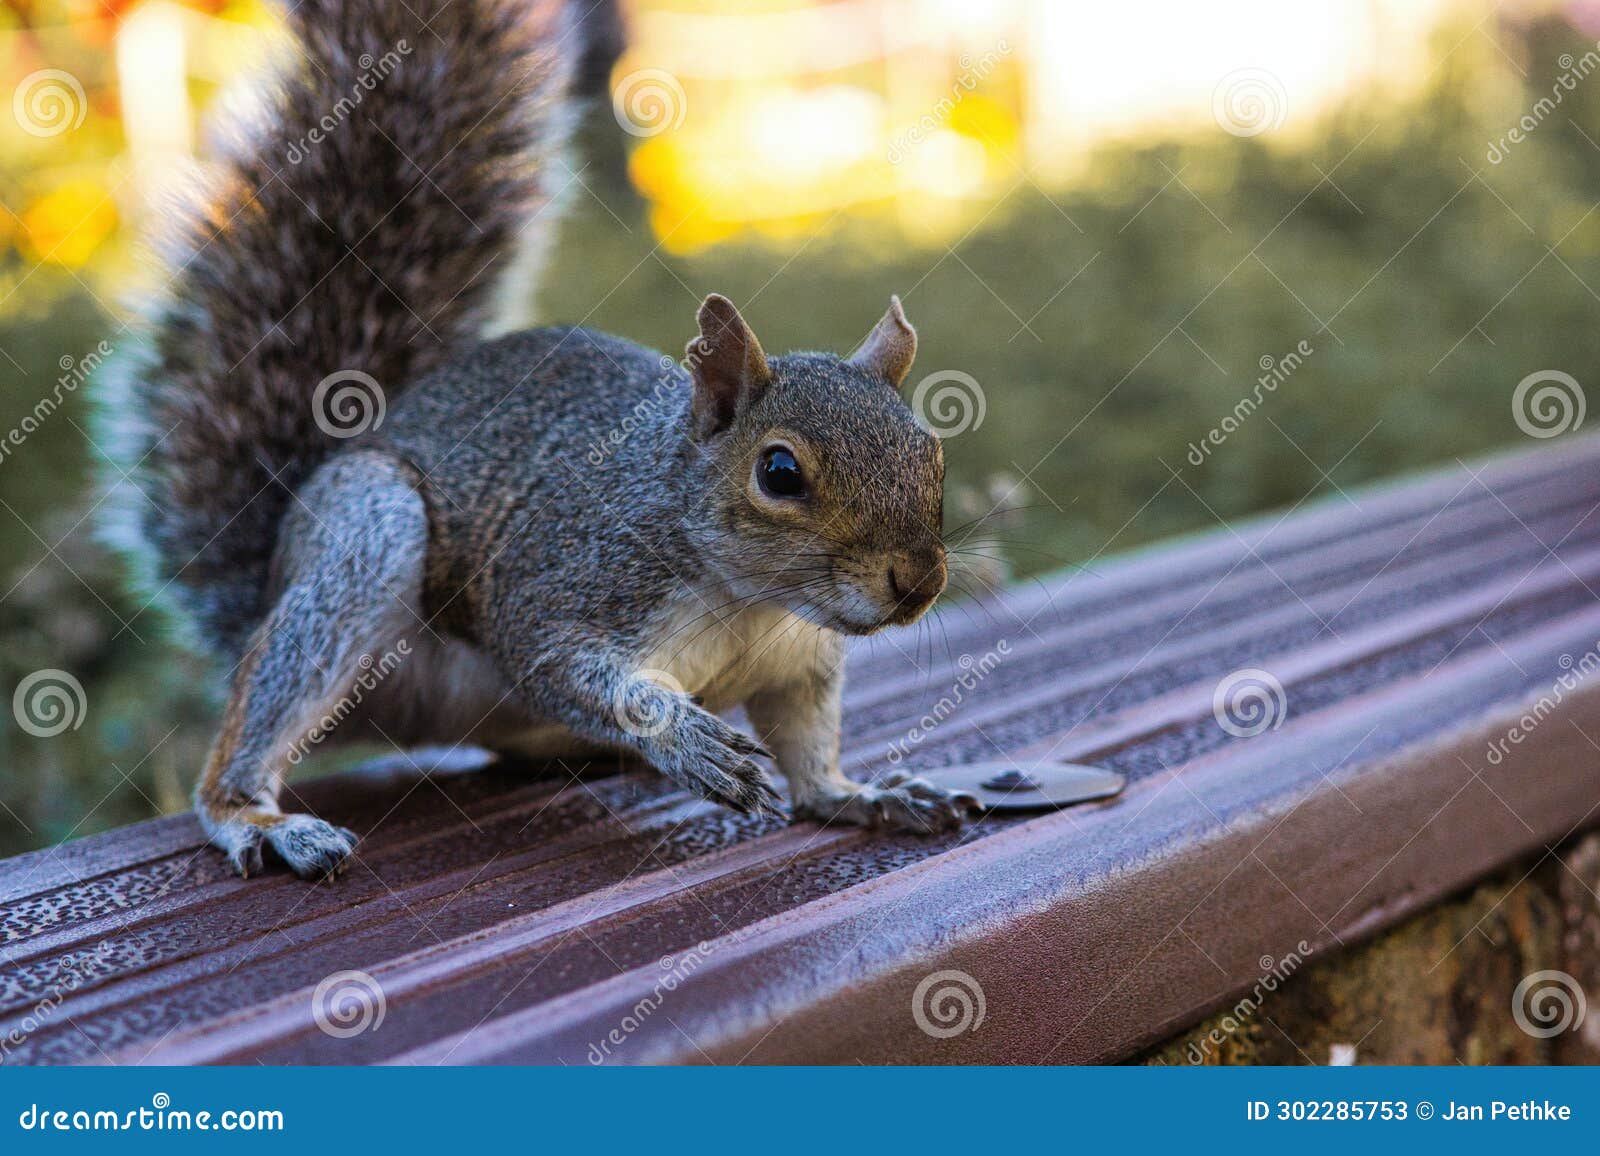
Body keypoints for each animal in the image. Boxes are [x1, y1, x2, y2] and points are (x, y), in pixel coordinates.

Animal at [100, 0, 976, 880]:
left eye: (932, 453)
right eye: (781, 472)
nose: (920, 582)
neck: (754, 602)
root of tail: (275, 562)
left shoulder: (800, 666)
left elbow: (808, 752)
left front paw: (862, 794)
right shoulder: (564, 582)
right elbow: (556, 661)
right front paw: (687, 742)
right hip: (365, 532)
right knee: (262, 716)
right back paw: (260, 818)